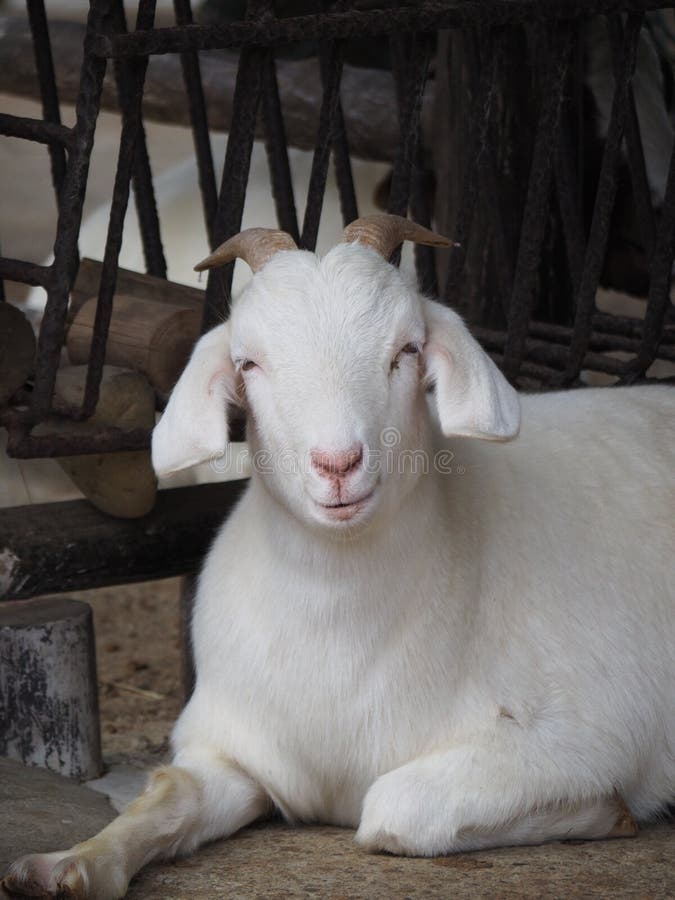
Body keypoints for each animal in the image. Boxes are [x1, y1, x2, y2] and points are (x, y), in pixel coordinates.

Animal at [4, 214, 674, 899]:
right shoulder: (230, 748)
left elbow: (395, 807)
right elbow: (169, 792)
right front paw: (69, 865)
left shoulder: (578, 739)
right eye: (249, 362)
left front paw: (604, 811)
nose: (337, 463)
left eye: (406, 350)